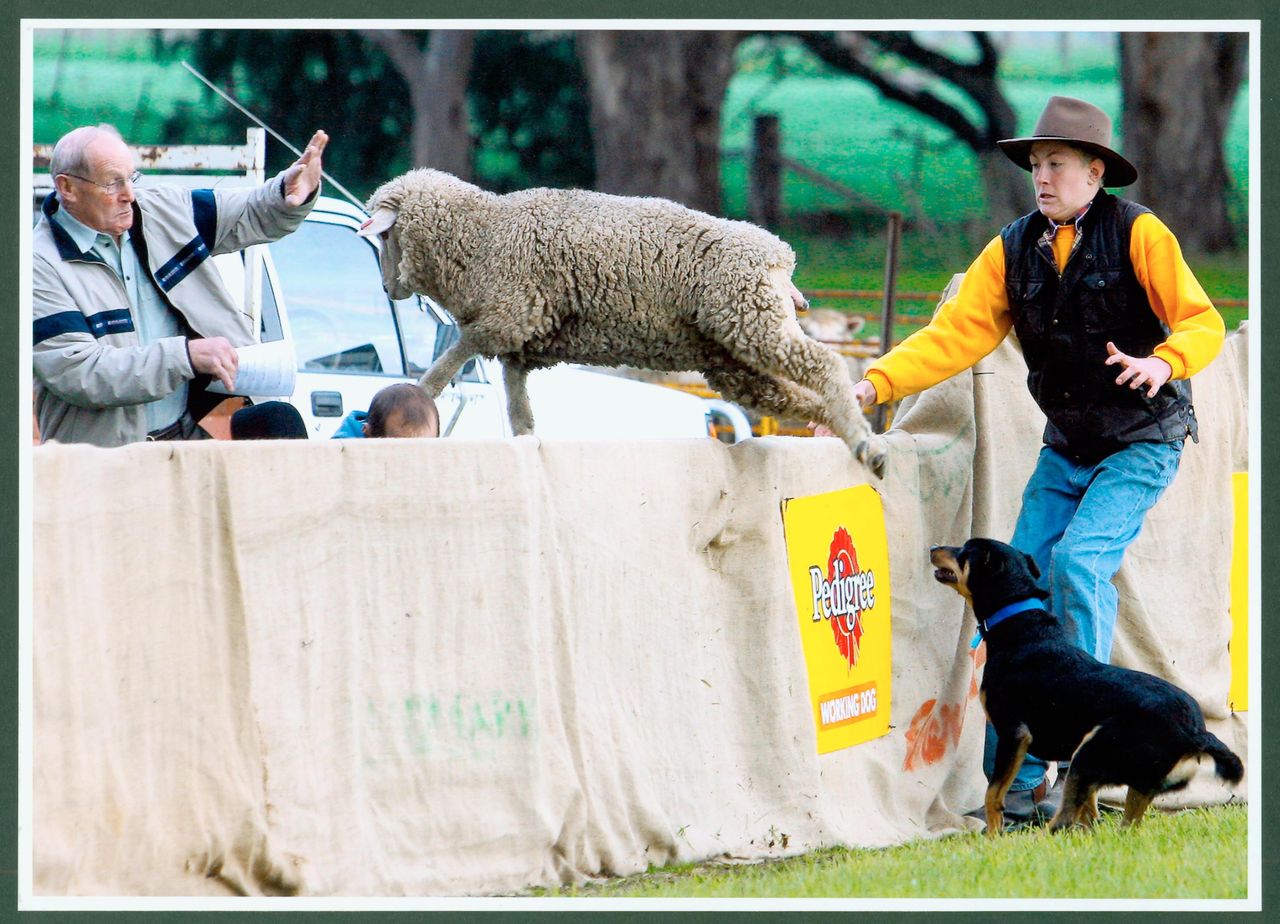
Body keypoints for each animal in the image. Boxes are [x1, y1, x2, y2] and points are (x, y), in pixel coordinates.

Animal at [357, 169, 886, 476]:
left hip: (752, 319)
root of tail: (779, 254)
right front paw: (527, 443)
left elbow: (448, 362)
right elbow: (519, 412)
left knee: (825, 364)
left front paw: (415, 398)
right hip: (734, 355)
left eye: (384, 236)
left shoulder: (510, 316)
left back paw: (866, 444)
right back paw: (853, 437)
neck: (483, 233)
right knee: (796, 396)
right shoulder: (520, 346)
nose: (385, 289)